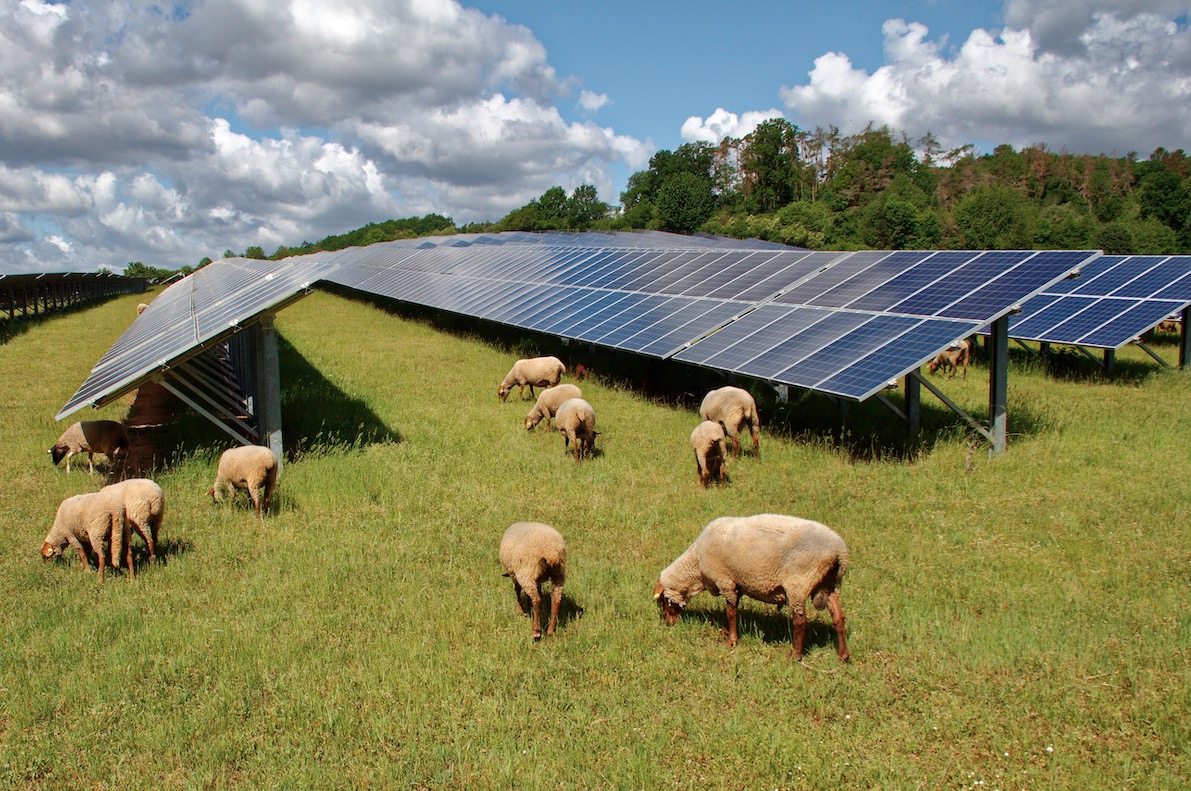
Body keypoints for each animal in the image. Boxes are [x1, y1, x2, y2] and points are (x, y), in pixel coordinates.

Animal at [657, 512, 852, 662]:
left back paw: (795, 655)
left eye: (663, 602)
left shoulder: (725, 580)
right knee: (838, 617)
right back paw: (843, 655)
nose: (669, 623)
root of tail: (839, 551)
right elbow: (730, 609)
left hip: (799, 582)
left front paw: (731, 641)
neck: (696, 565)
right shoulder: (736, 583)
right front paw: (726, 632)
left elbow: (730, 612)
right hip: (831, 584)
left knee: (800, 621)